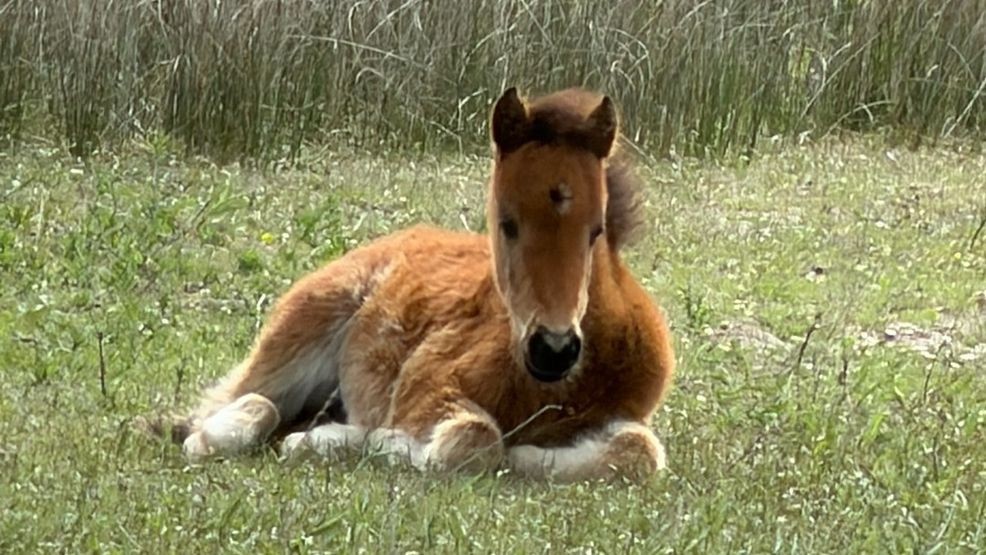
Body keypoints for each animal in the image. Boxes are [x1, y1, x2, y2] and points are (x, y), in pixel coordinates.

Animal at [167, 87, 675, 481]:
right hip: (294, 340)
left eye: (596, 230)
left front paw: (535, 456)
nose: (553, 349)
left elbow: (640, 451)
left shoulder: (626, 414)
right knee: (231, 406)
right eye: (507, 223)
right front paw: (364, 442)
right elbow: (474, 439)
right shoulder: (427, 390)